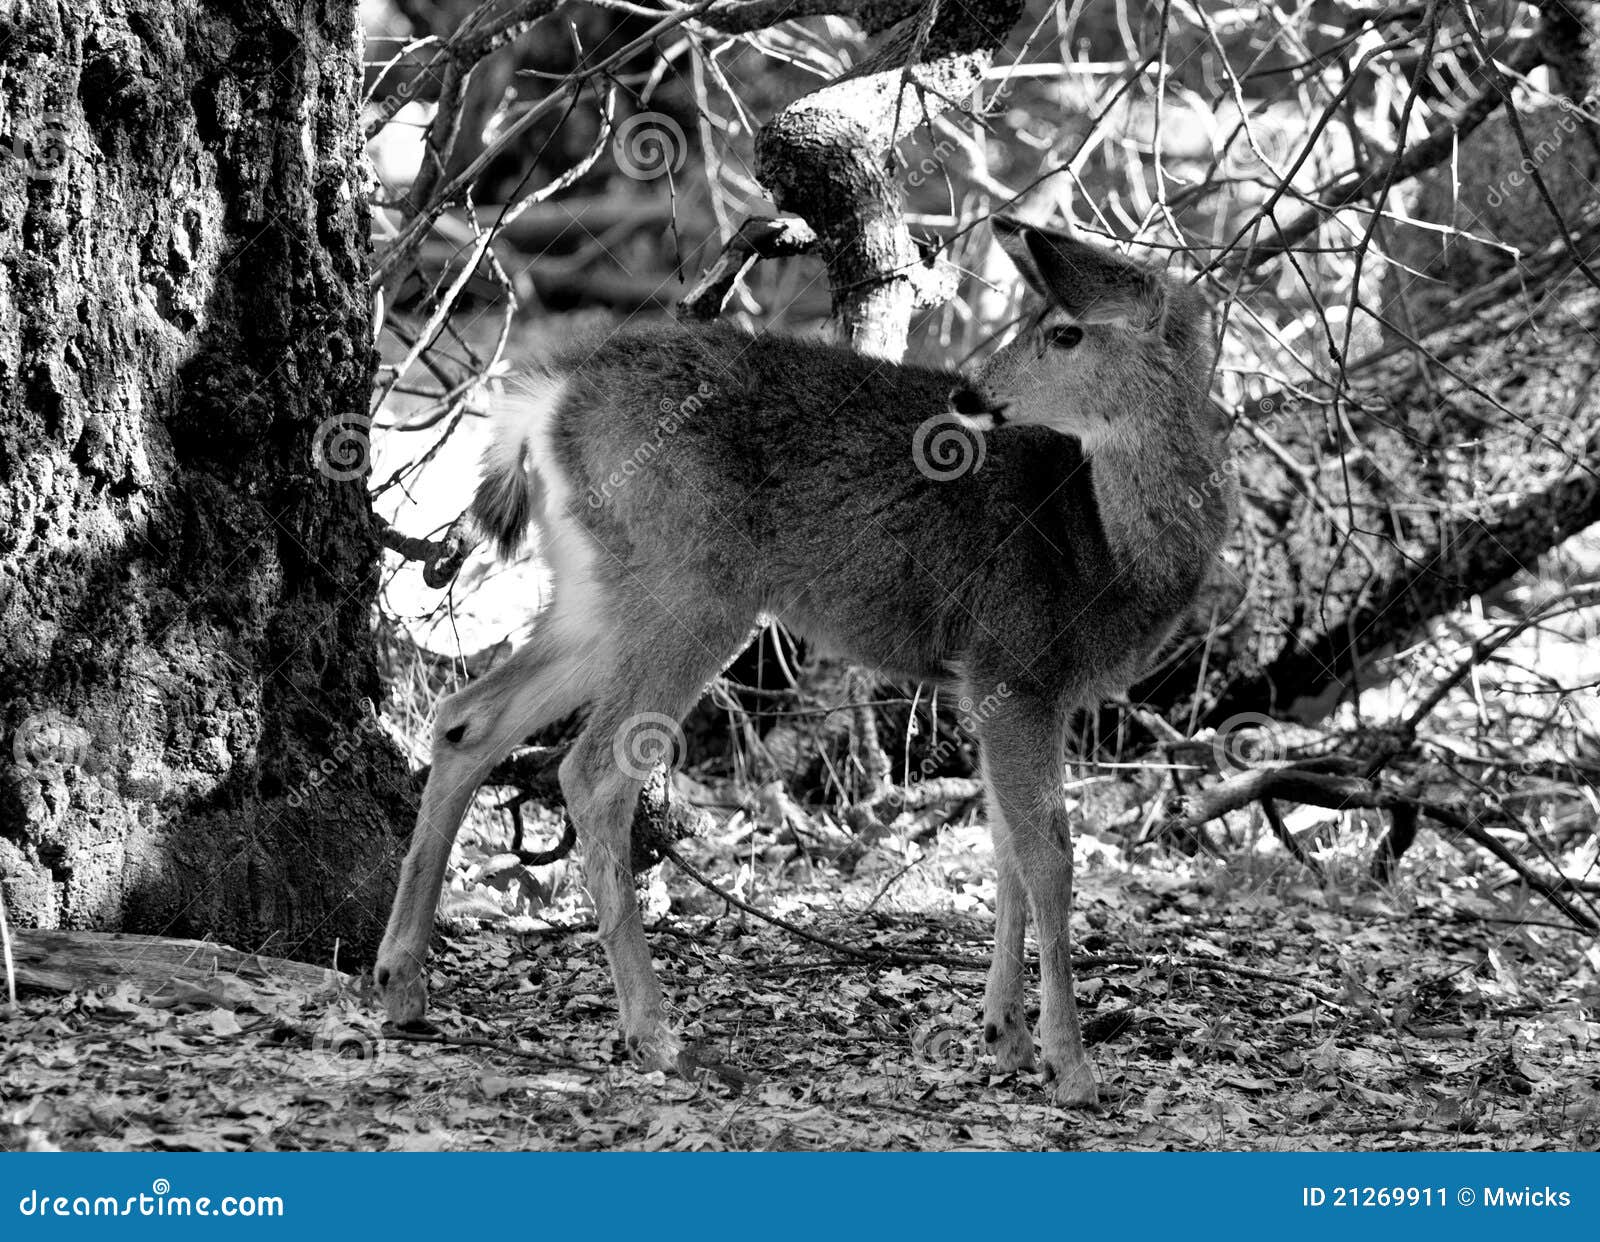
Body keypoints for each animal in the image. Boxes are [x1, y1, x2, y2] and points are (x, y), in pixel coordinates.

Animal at [374, 215, 1235, 1106]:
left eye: (1064, 331)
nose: (967, 397)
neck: (1104, 552)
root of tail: (549, 403)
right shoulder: (1015, 664)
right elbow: (1051, 858)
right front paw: (1072, 1065)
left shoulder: (998, 687)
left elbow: (1005, 849)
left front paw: (1007, 1037)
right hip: (691, 582)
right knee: (591, 771)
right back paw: (655, 1035)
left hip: (596, 589)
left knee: (468, 718)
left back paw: (402, 985)